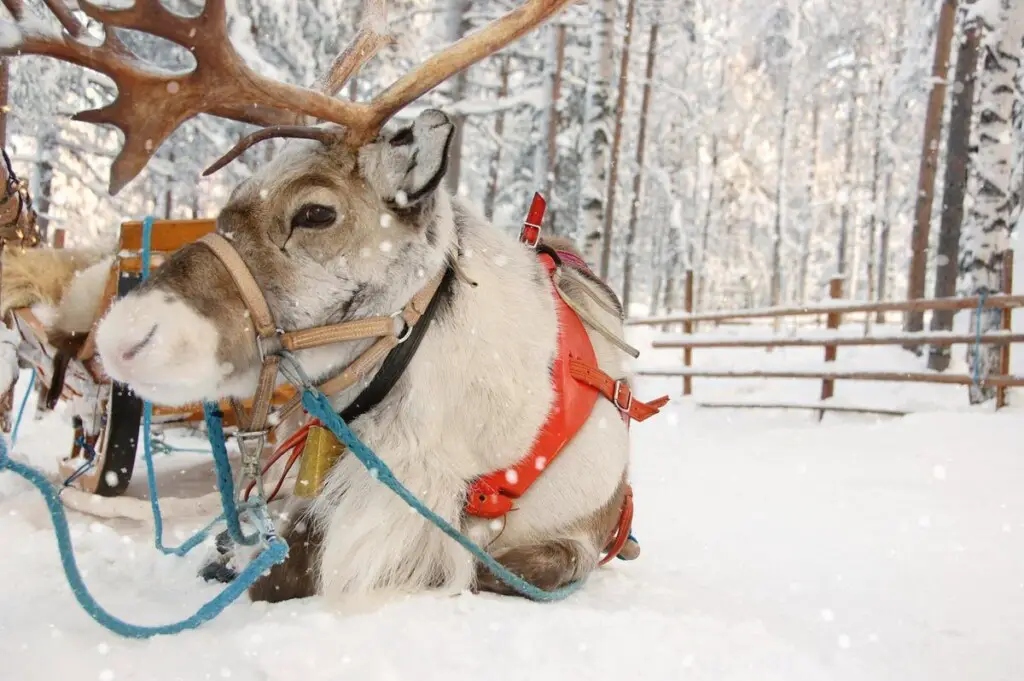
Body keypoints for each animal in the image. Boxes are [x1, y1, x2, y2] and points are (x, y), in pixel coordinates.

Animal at [0, 0, 666, 607]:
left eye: (315, 213)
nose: (122, 335)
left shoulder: (570, 536)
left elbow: (496, 569)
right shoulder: (314, 503)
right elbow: (266, 564)